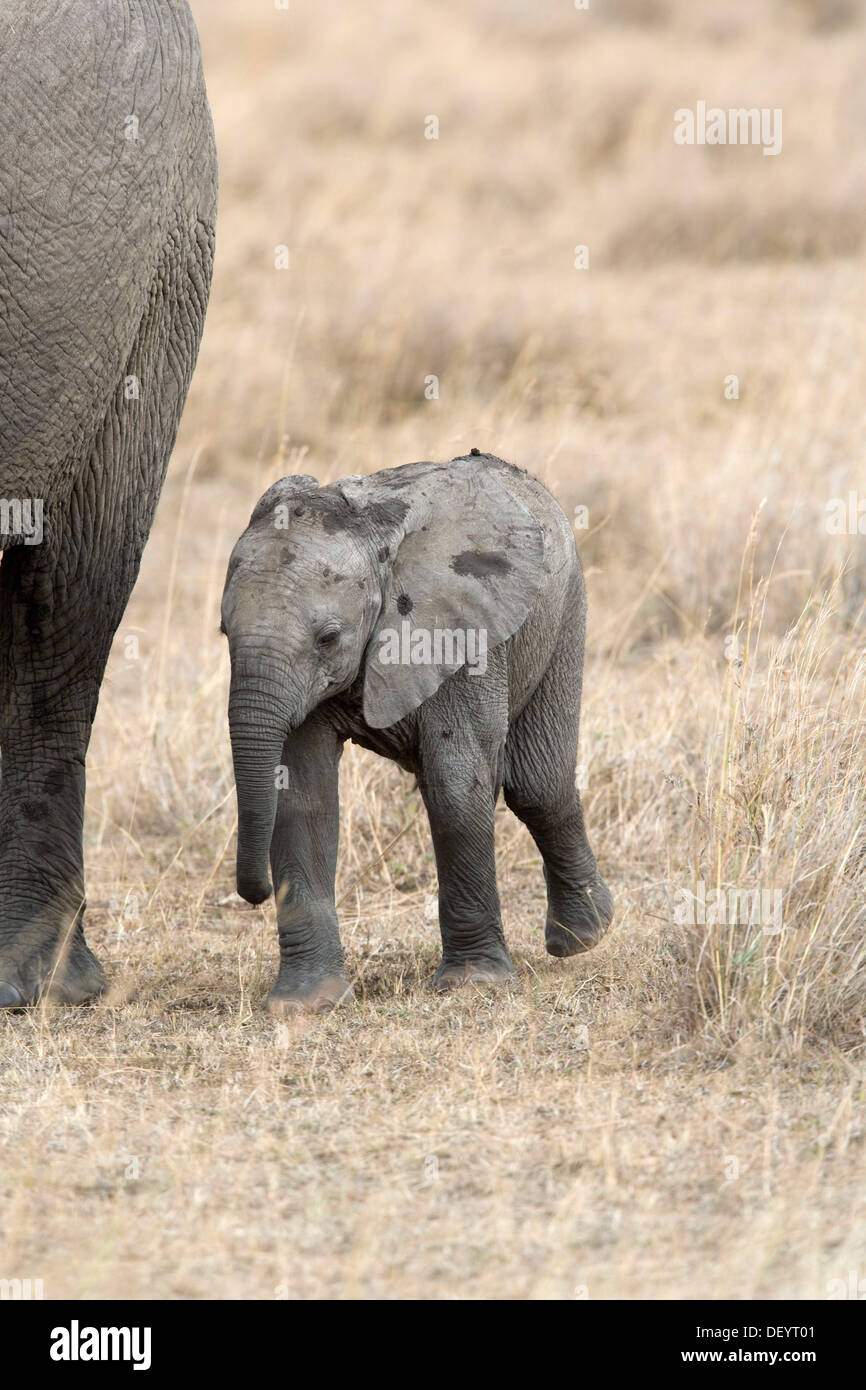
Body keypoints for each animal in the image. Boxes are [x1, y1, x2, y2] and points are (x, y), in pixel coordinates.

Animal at [222, 450, 613, 1014]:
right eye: (223, 631)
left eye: (328, 638)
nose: (253, 895)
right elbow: (302, 797)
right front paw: (306, 1004)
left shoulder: (461, 632)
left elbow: (456, 785)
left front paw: (474, 986)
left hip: (562, 609)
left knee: (539, 786)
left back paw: (584, 937)